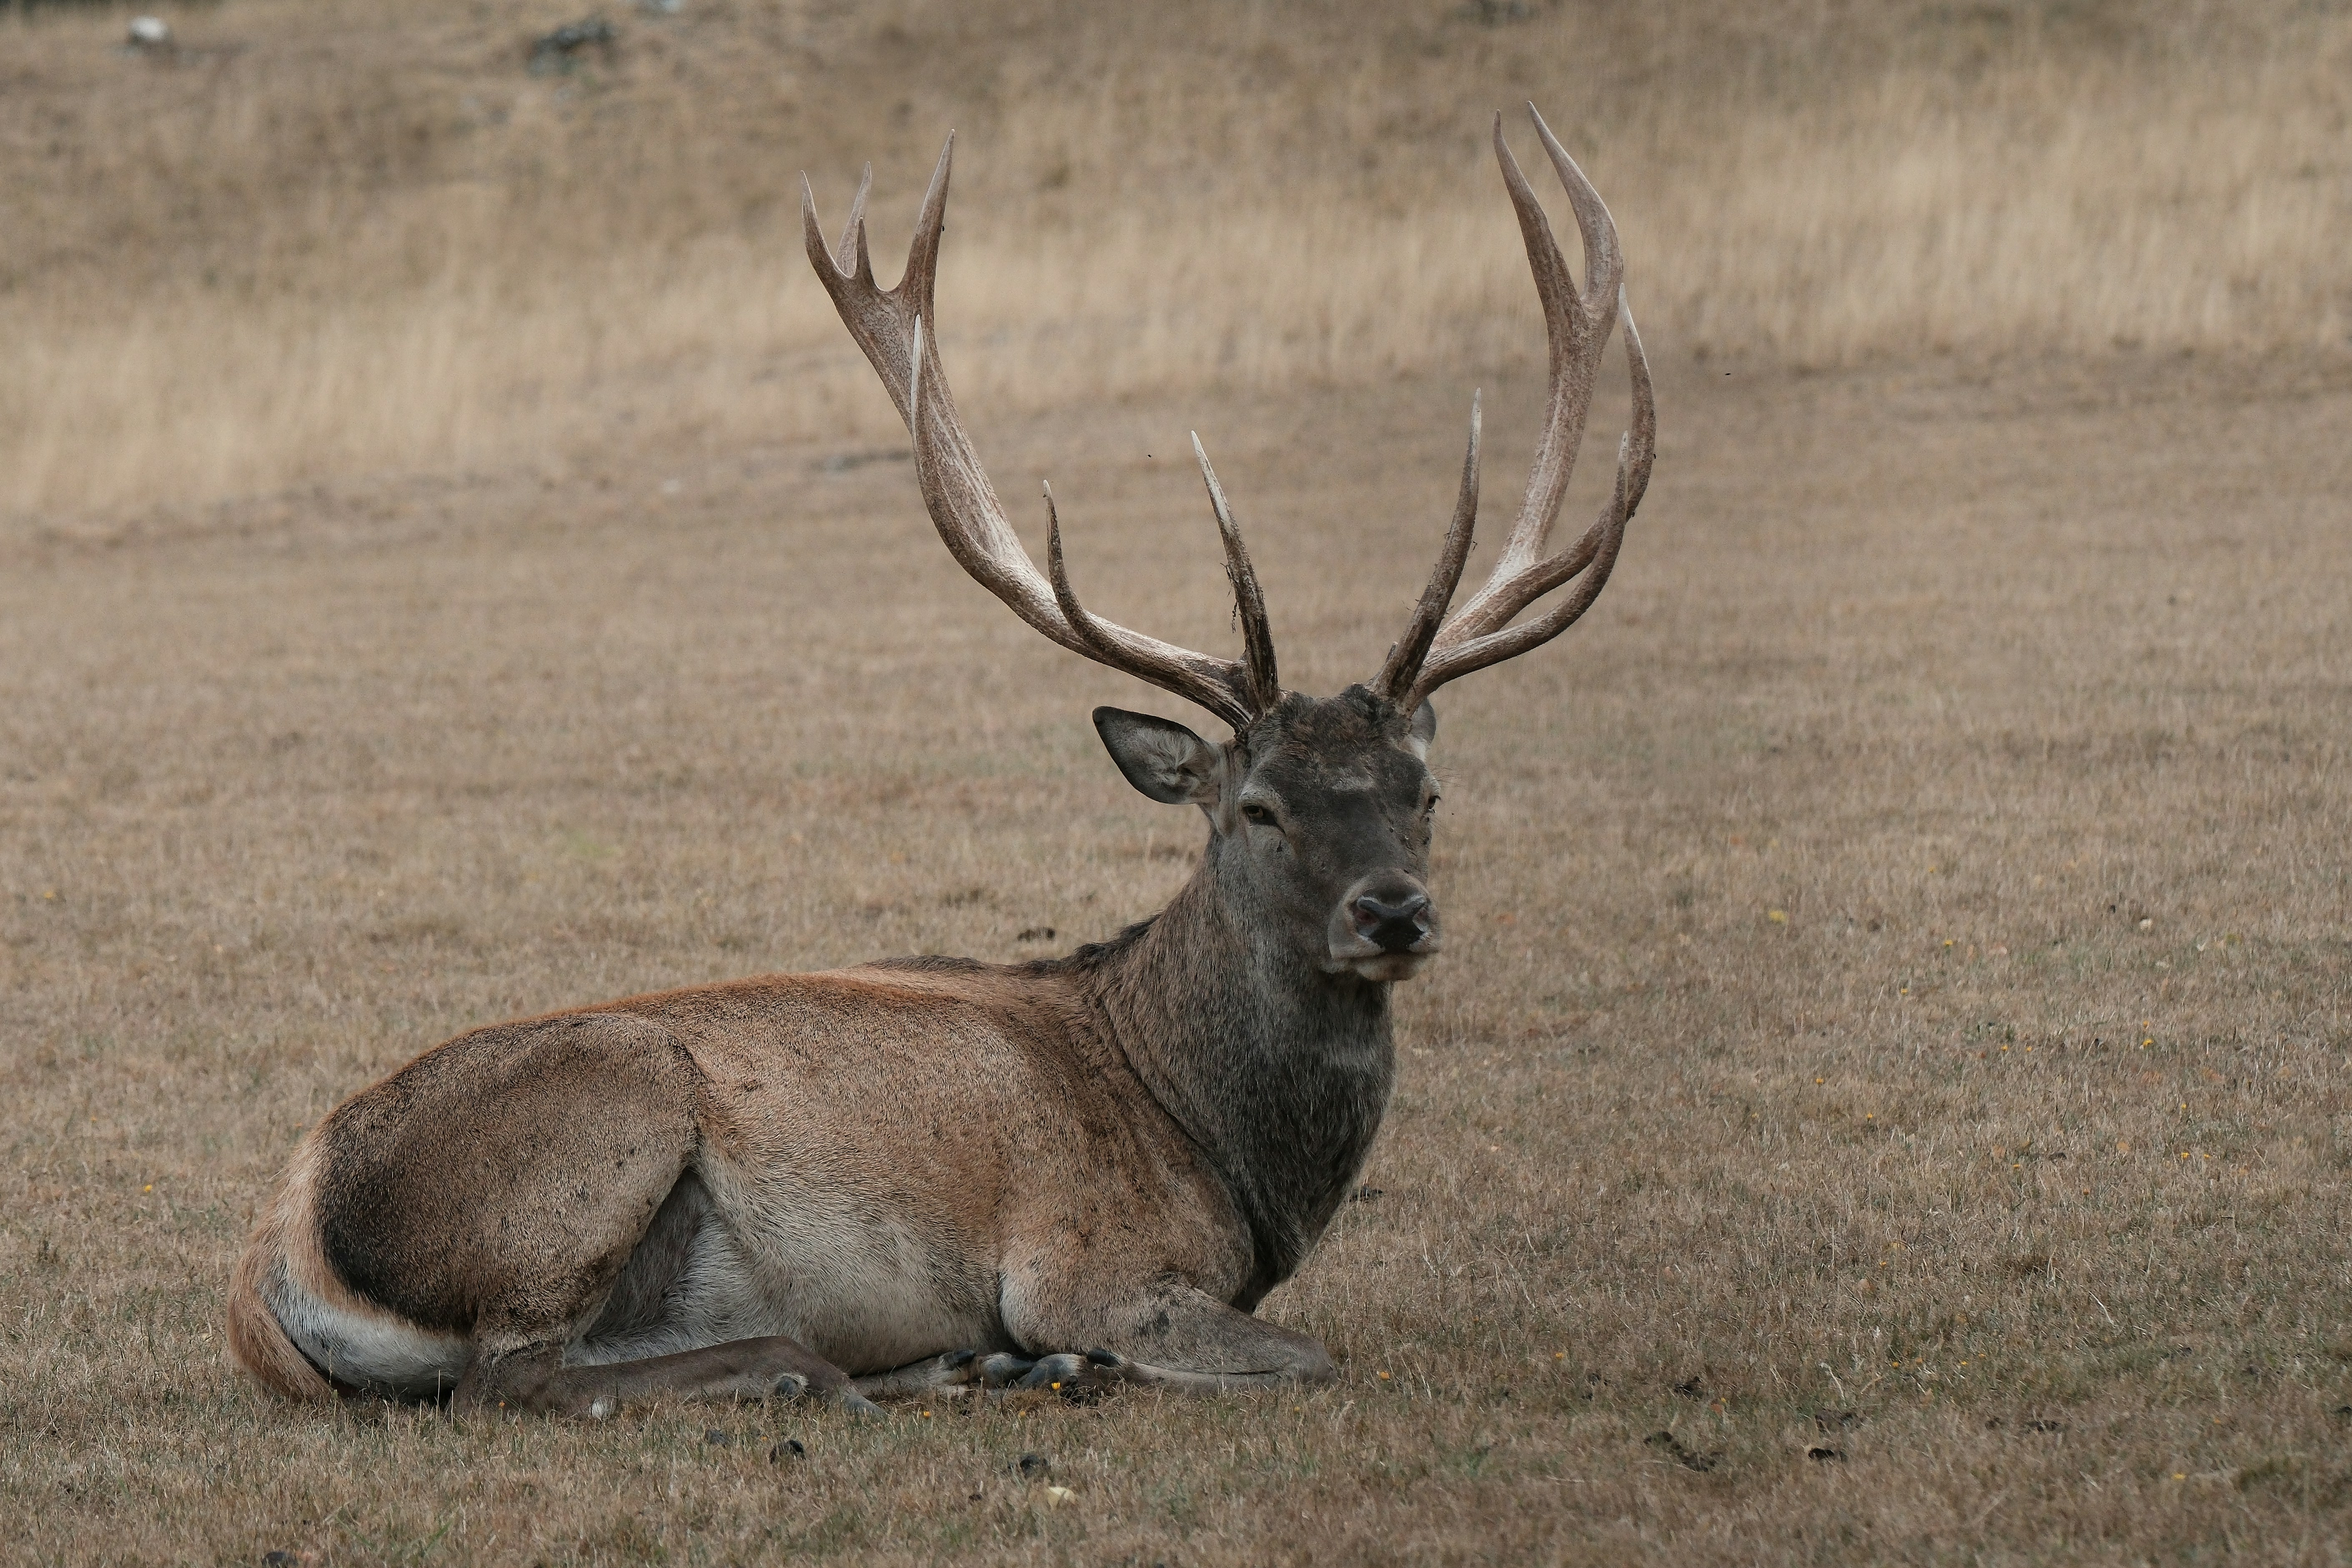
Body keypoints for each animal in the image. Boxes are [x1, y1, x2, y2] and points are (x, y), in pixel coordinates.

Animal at [226, 105, 1654, 1417]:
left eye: (1424, 793)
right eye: (1256, 808)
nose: (1393, 911)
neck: (1219, 1153)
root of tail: (273, 1260)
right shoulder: (1089, 1261)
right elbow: (1308, 1356)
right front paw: (1068, 1357)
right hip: (604, 1112)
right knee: (513, 1378)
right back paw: (851, 1367)